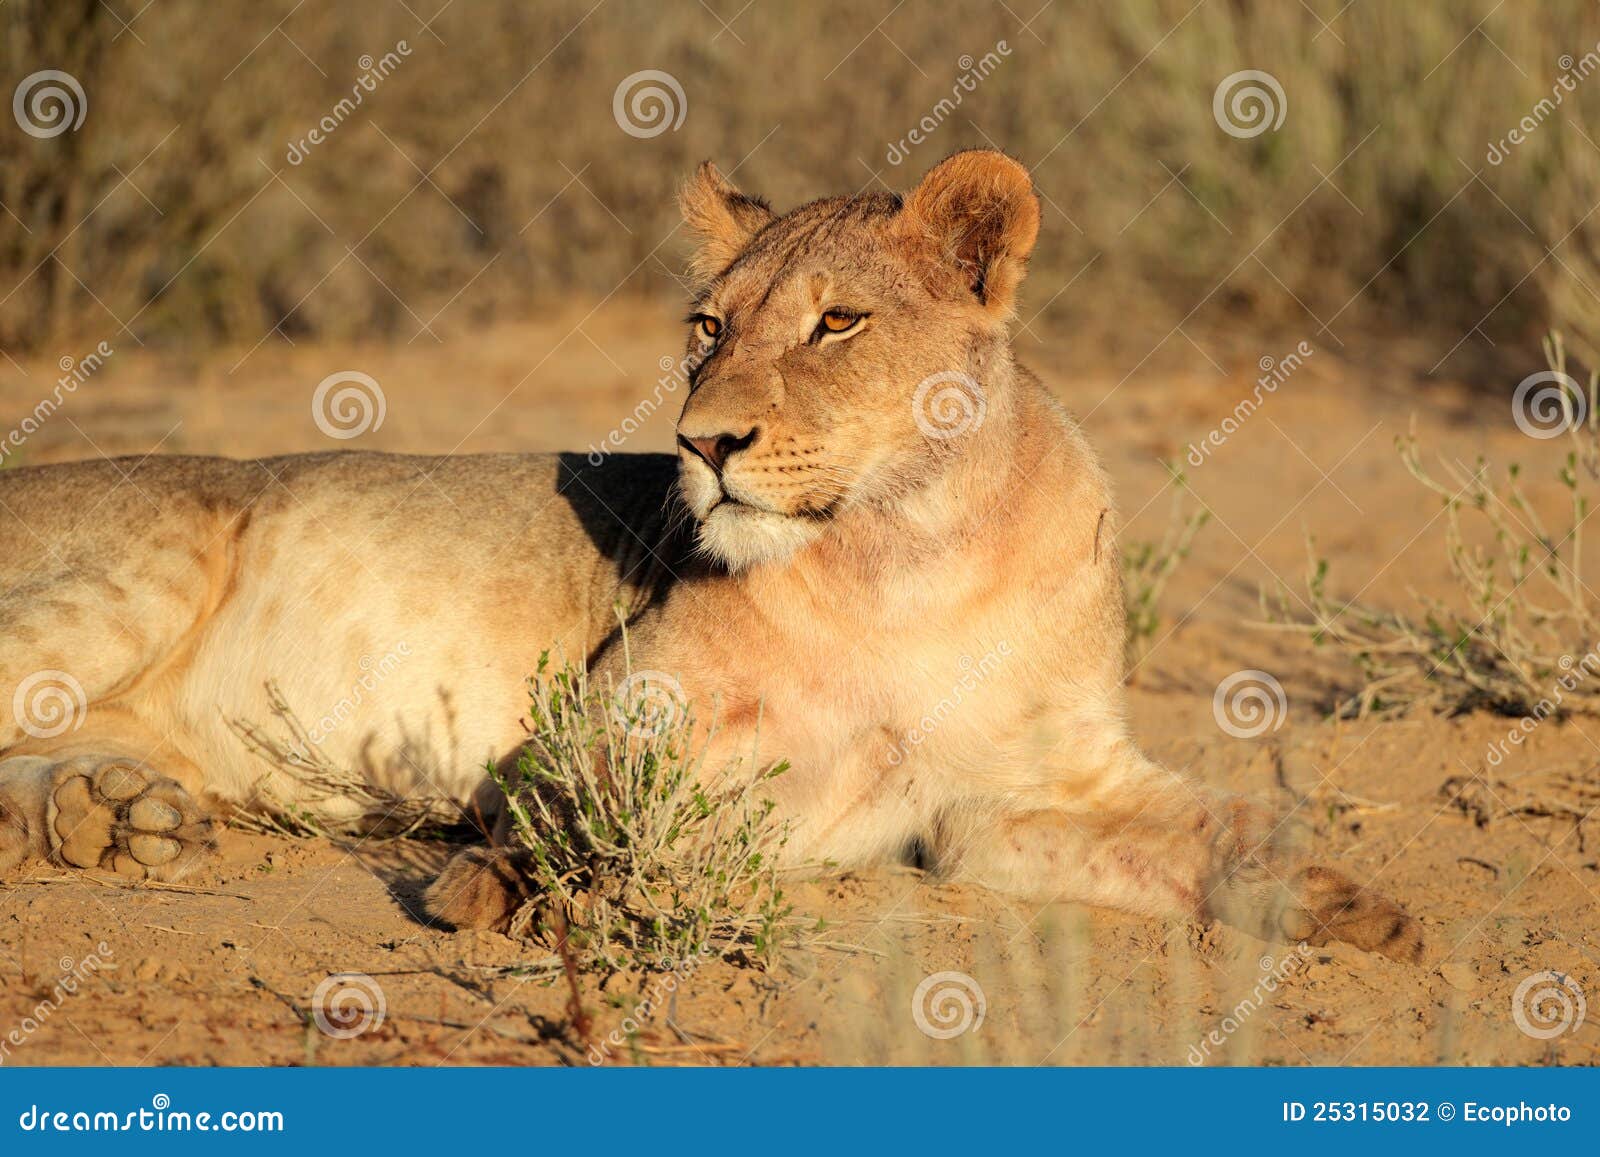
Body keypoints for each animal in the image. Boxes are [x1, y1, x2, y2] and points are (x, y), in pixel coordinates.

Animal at [0, 150, 1423, 963]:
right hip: (162, 554)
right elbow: (585, 810)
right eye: (706, 325)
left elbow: (1217, 824)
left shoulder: (1016, 796)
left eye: (837, 323)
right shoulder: (615, 707)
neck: (911, 556)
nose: (703, 439)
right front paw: (496, 886)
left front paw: (1350, 905)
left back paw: (114, 816)